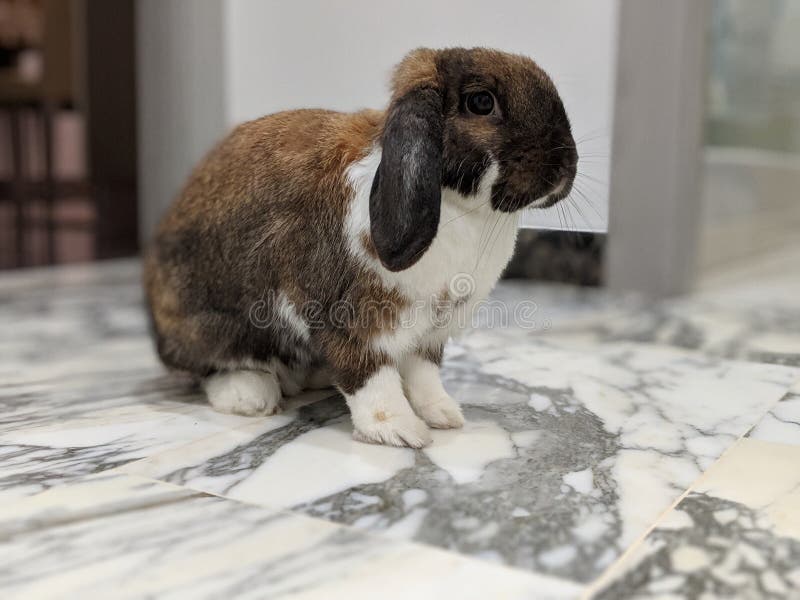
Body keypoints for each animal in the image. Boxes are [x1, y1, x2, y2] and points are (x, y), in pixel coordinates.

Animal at [144, 47, 577, 448]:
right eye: (482, 102)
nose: (565, 165)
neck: (459, 206)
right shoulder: (353, 320)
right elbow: (371, 376)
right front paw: (399, 431)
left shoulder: (430, 333)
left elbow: (423, 374)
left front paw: (443, 414)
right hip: (210, 327)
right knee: (210, 367)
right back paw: (249, 394)